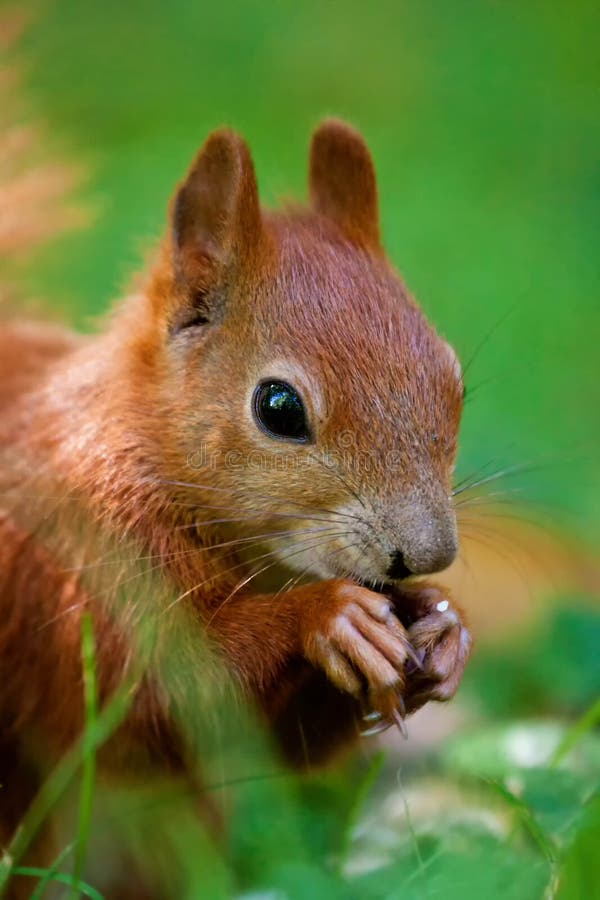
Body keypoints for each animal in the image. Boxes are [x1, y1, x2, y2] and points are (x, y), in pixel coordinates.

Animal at [0, 120, 471, 852]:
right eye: (278, 408)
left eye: (455, 384)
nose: (428, 555)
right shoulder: (76, 563)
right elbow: (139, 703)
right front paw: (326, 616)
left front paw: (444, 631)